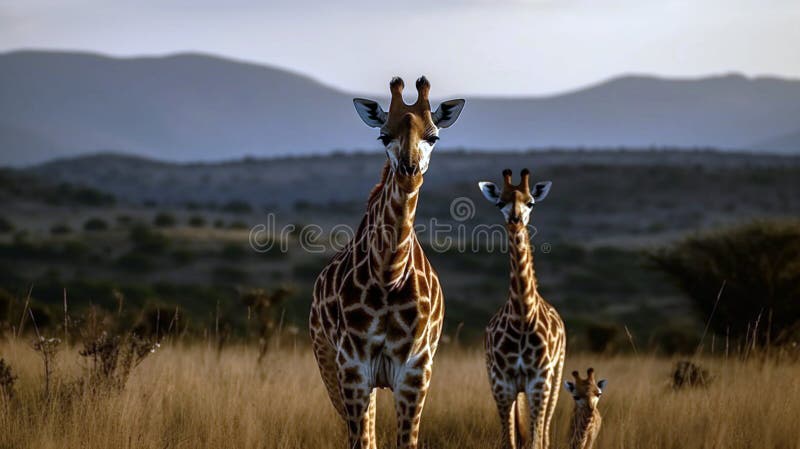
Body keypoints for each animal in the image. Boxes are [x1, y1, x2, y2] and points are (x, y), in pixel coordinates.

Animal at [309, 76, 465, 449]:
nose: (409, 170)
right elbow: (361, 442)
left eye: (433, 136)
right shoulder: (352, 368)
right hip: (329, 365)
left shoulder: (415, 372)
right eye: (383, 135)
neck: (389, 275)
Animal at [478, 168, 566, 449]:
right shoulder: (501, 383)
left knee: (545, 432)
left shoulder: (539, 381)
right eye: (499, 202)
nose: (515, 220)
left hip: (555, 377)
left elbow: (536, 442)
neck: (522, 315)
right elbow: (510, 442)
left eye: (531, 202)